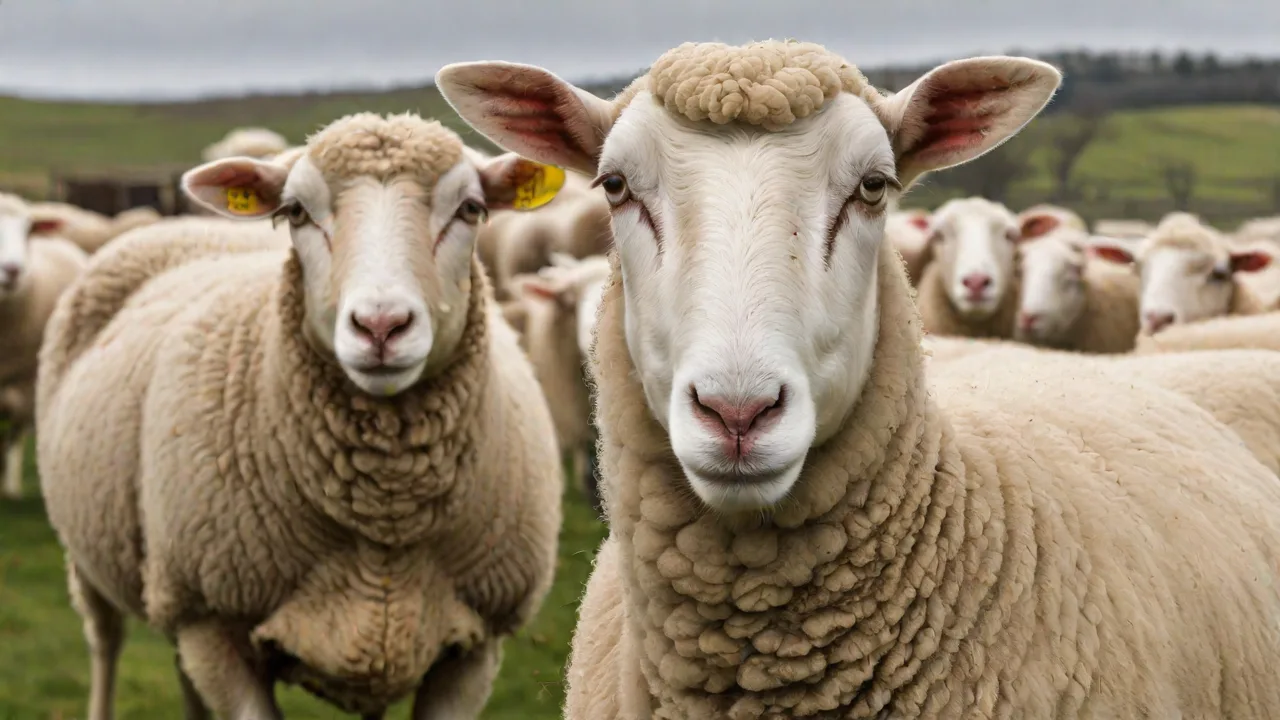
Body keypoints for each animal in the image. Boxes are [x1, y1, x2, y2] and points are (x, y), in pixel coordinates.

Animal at [36, 112, 565, 720]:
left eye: (471, 209)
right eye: (295, 212)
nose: (380, 326)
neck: (385, 515)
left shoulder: (477, 645)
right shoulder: (215, 623)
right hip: (96, 557)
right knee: (105, 641)